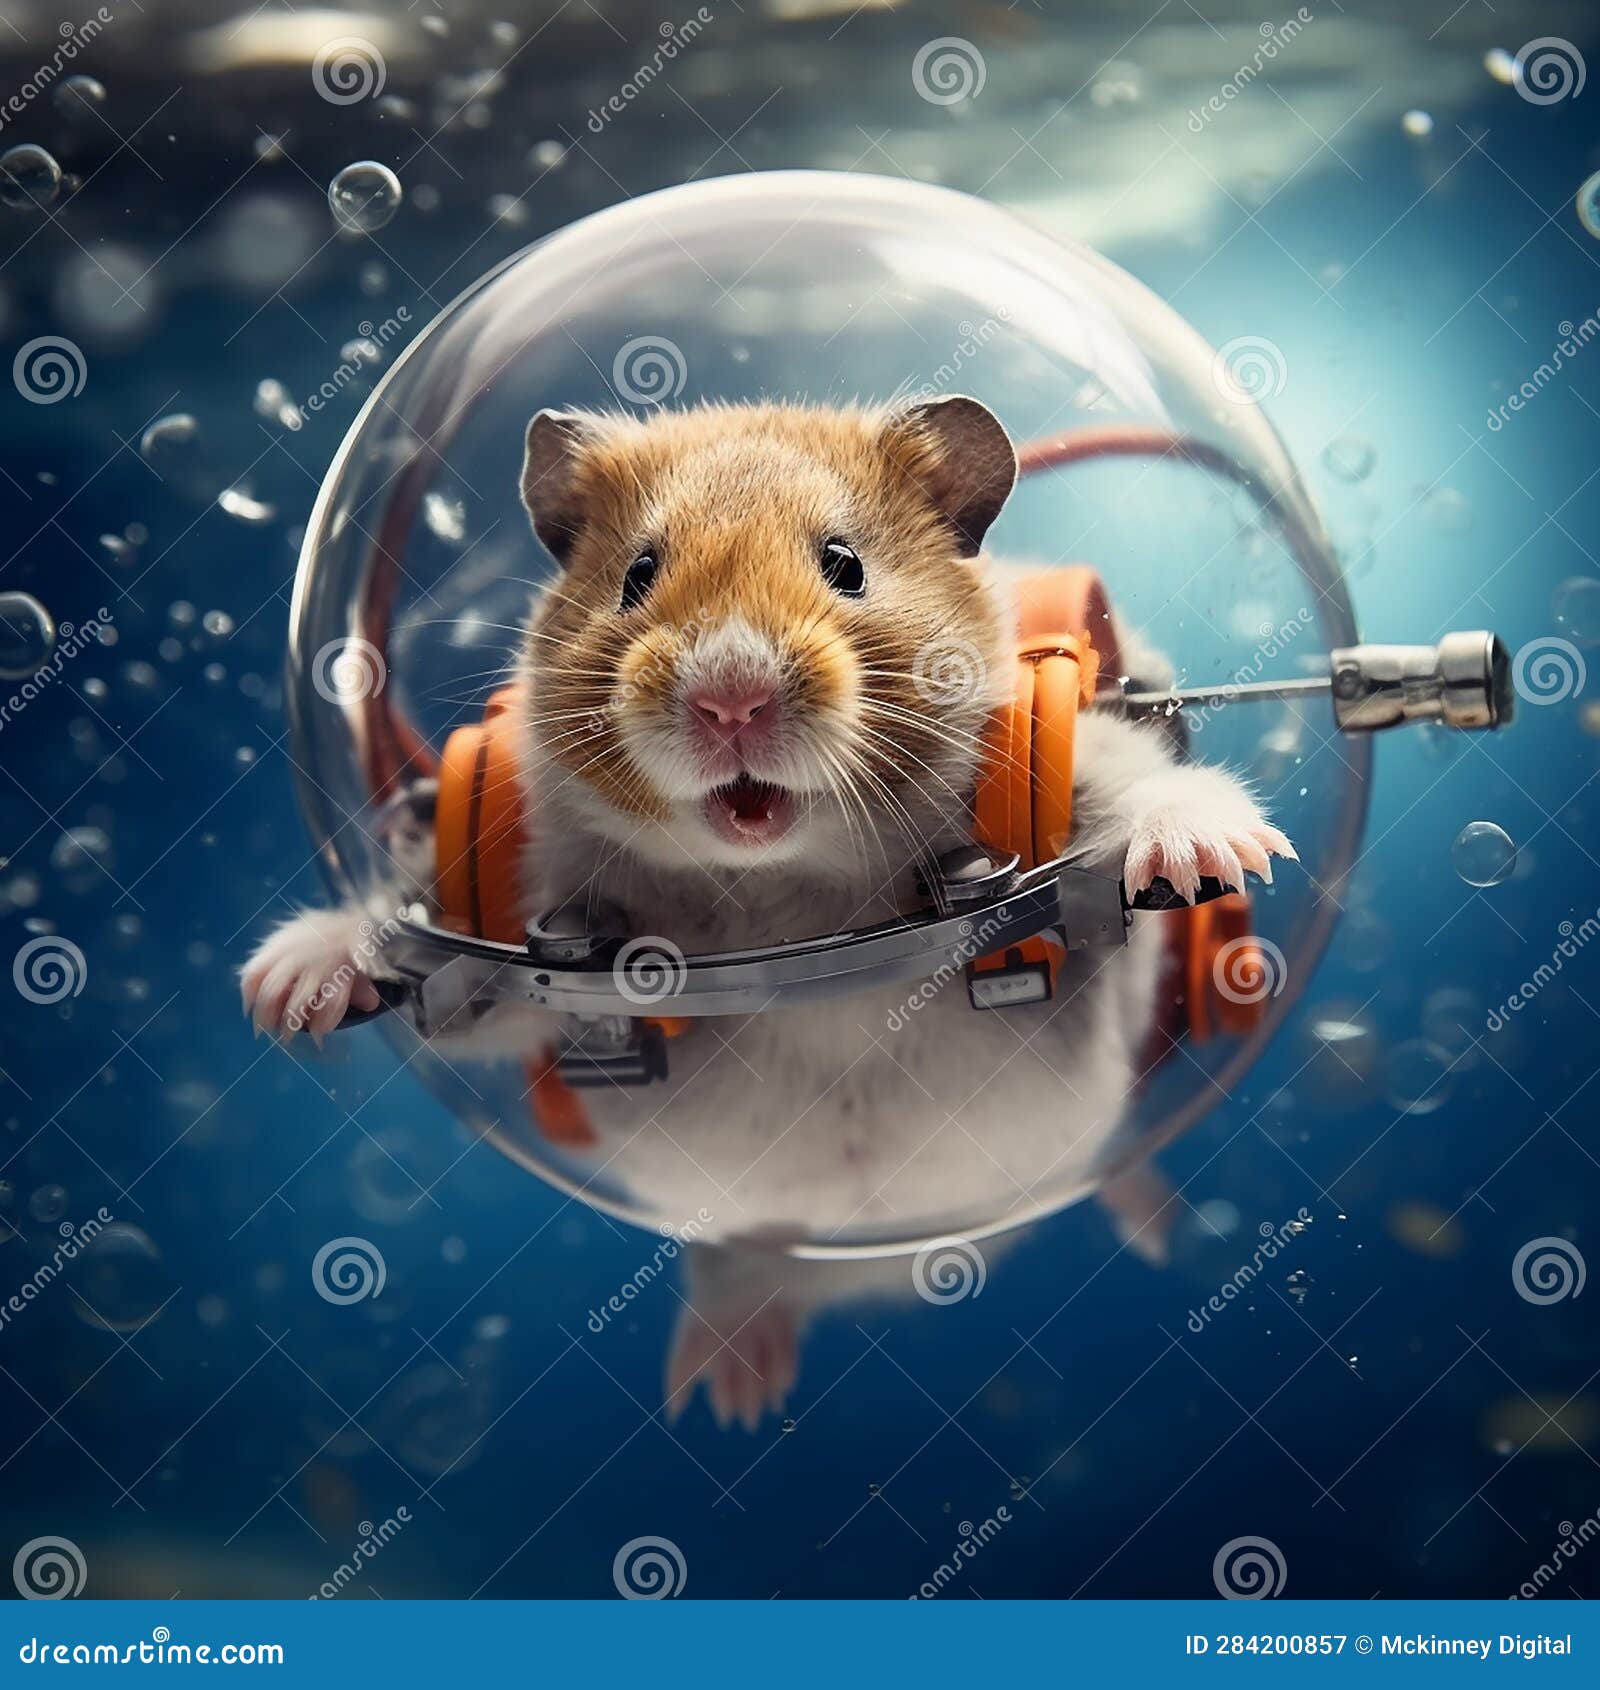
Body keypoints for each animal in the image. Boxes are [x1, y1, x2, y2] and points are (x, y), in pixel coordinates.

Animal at [243, 396, 1294, 1430]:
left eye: (846, 564)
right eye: (637, 574)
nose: (730, 702)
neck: (786, 893)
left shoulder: (1073, 782)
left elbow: (1142, 792)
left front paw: (1216, 850)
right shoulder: (526, 938)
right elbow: (436, 982)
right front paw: (279, 989)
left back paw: (1153, 1231)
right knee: (744, 1270)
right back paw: (728, 1391)